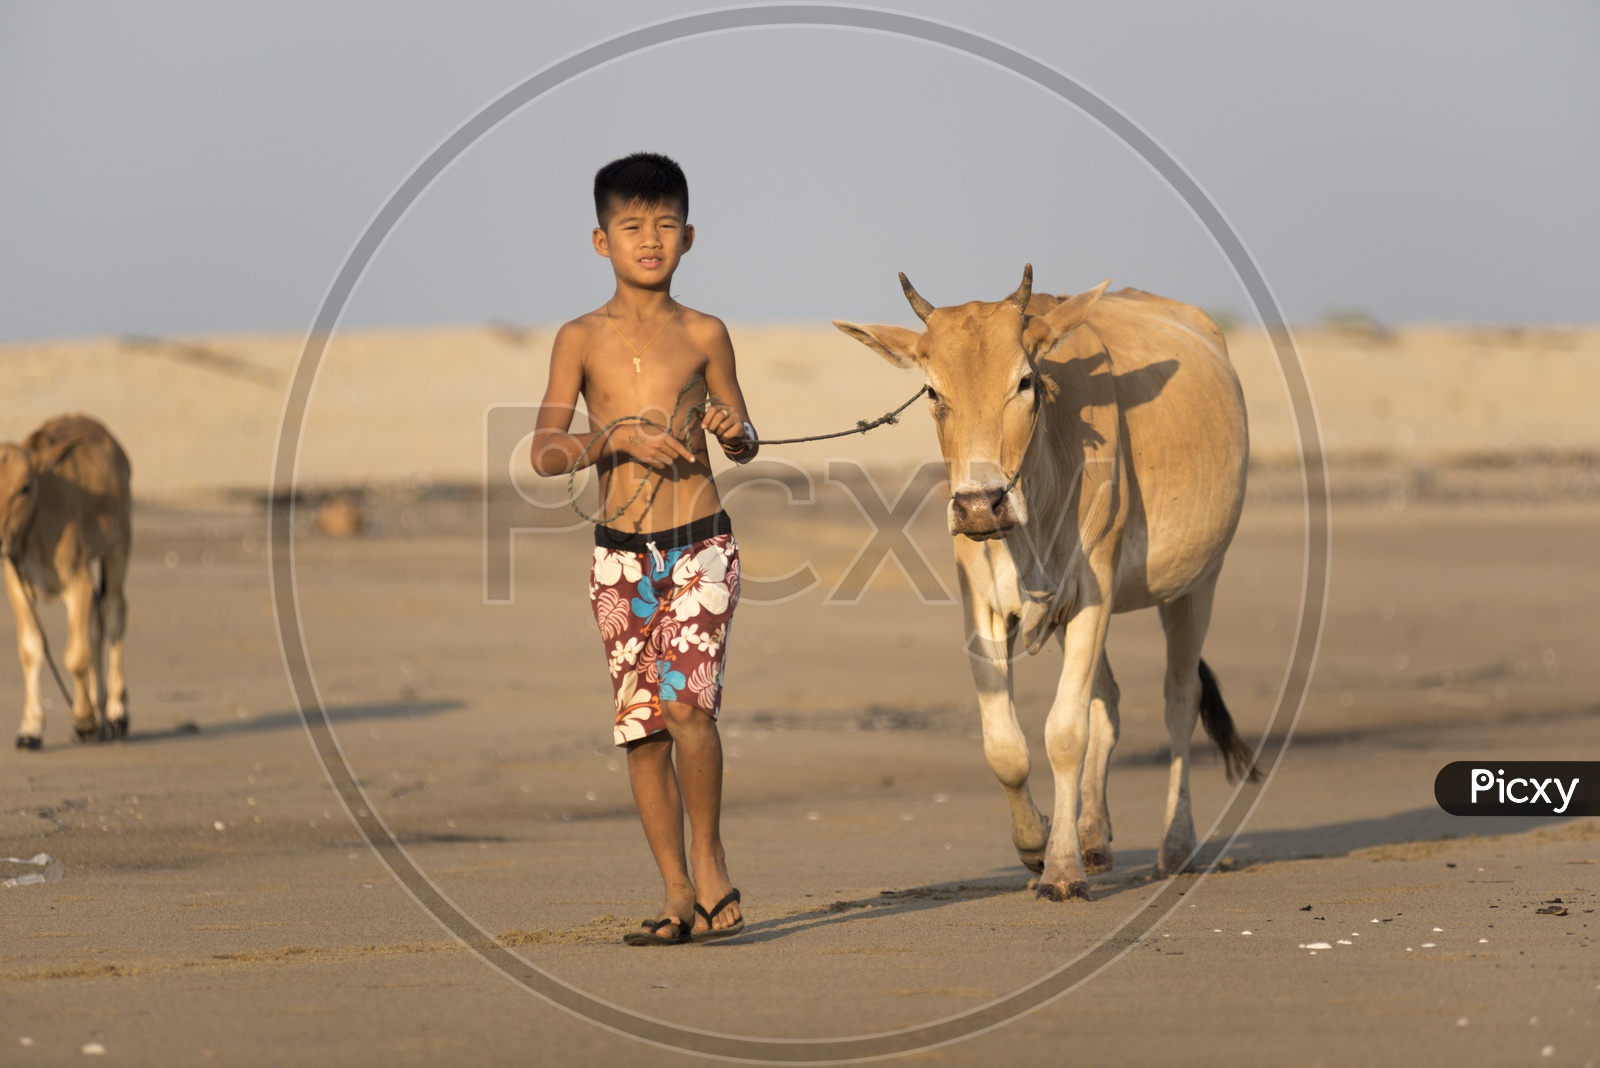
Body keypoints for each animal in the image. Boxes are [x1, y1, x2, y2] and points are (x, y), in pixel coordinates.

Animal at [0, 415, 132, 748]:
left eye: (25, 487)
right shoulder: (15, 581)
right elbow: (32, 647)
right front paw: (31, 728)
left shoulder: (78, 577)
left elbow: (76, 655)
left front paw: (84, 721)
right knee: (97, 621)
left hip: (119, 545)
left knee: (113, 614)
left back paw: (115, 713)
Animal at [835, 267, 1258, 901]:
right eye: (932, 392)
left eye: (1026, 380)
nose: (978, 505)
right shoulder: (984, 607)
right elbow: (1006, 746)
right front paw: (1036, 845)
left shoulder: (1093, 594)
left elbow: (1064, 733)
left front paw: (1060, 872)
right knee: (1108, 697)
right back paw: (1093, 835)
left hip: (1199, 581)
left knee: (1178, 701)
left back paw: (1175, 844)